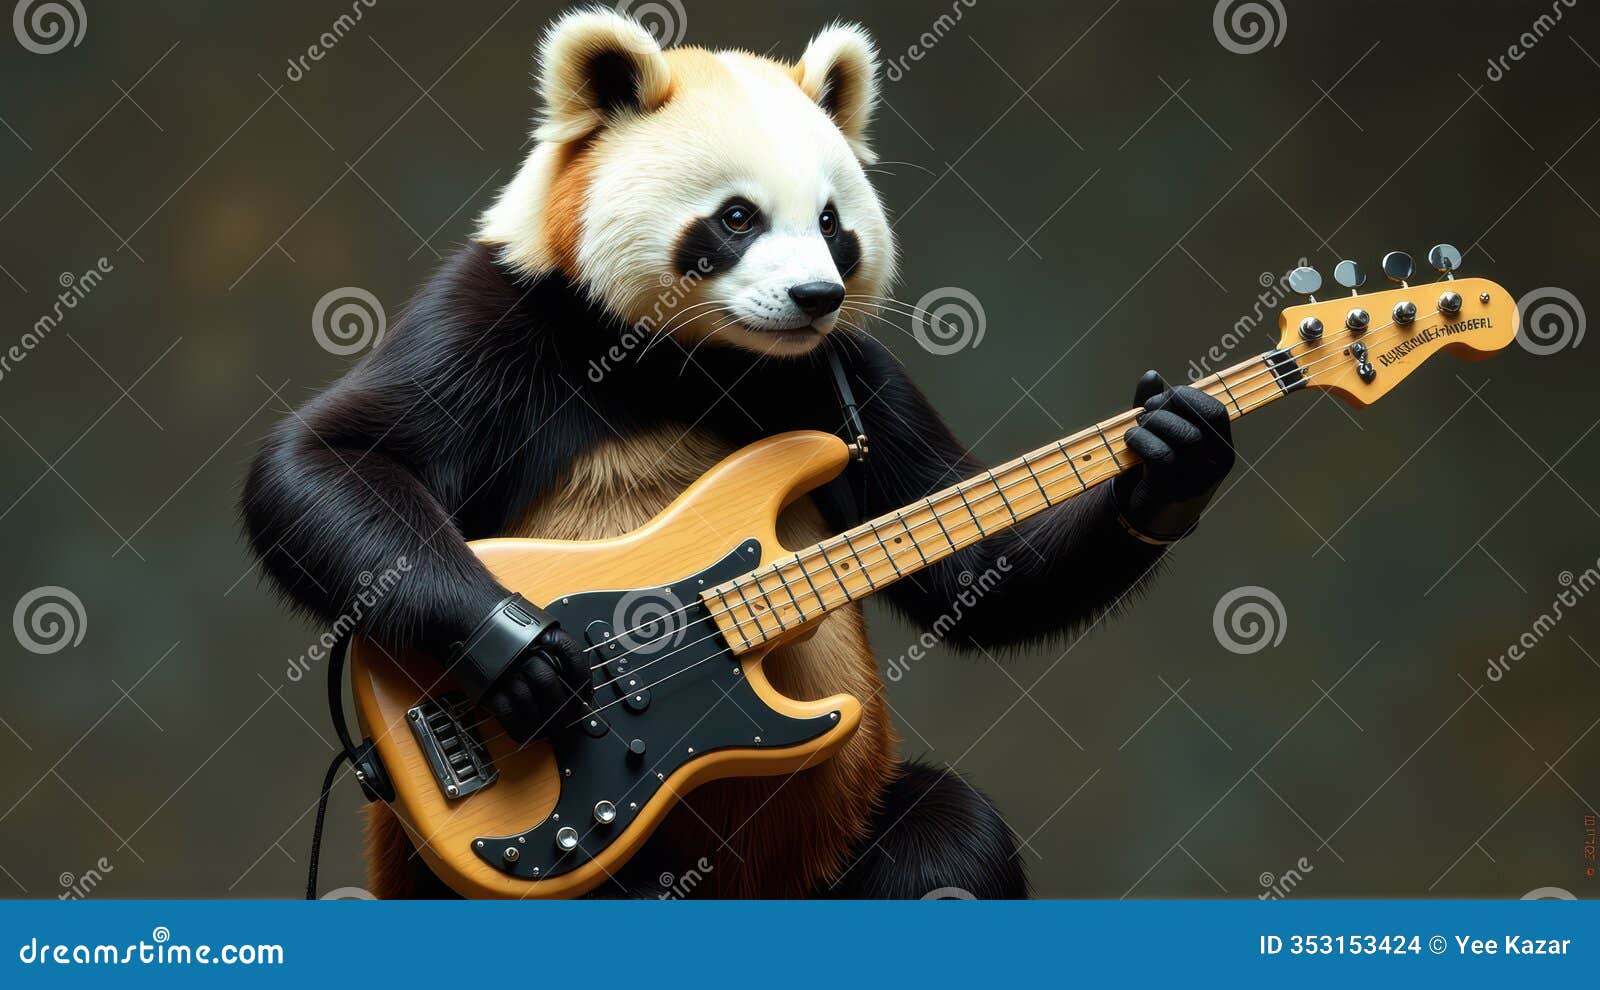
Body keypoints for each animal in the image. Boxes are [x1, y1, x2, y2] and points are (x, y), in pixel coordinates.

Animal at [241, 9, 1235, 899]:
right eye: (735, 218)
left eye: (834, 223)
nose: (816, 297)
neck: (693, 358)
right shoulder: (505, 315)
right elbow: (326, 460)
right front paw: (534, 665)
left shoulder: (850, 374)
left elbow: (975, 566)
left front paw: (1174, 456)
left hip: (846, 830)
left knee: (951, 846)